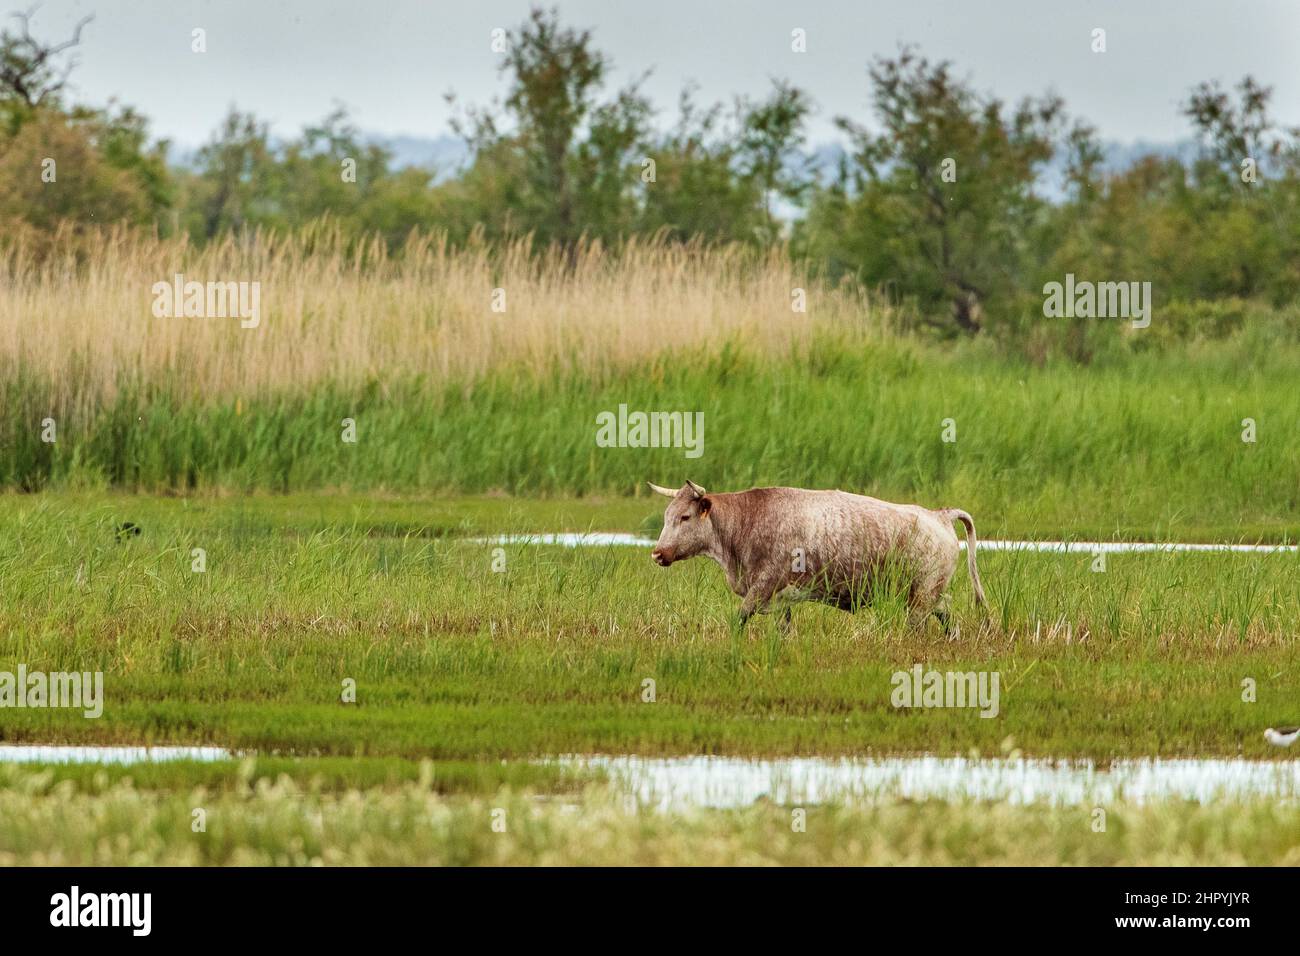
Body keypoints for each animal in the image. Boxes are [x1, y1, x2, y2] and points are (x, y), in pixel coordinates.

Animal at [648, 480, 986, 632]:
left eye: (685, 517)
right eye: (666, 516)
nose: (658, 553)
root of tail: (938, 514)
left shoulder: (762, 586)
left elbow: (739, 619)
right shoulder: (780, 598)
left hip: (921, 598)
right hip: (928, 596)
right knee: (948, 619)